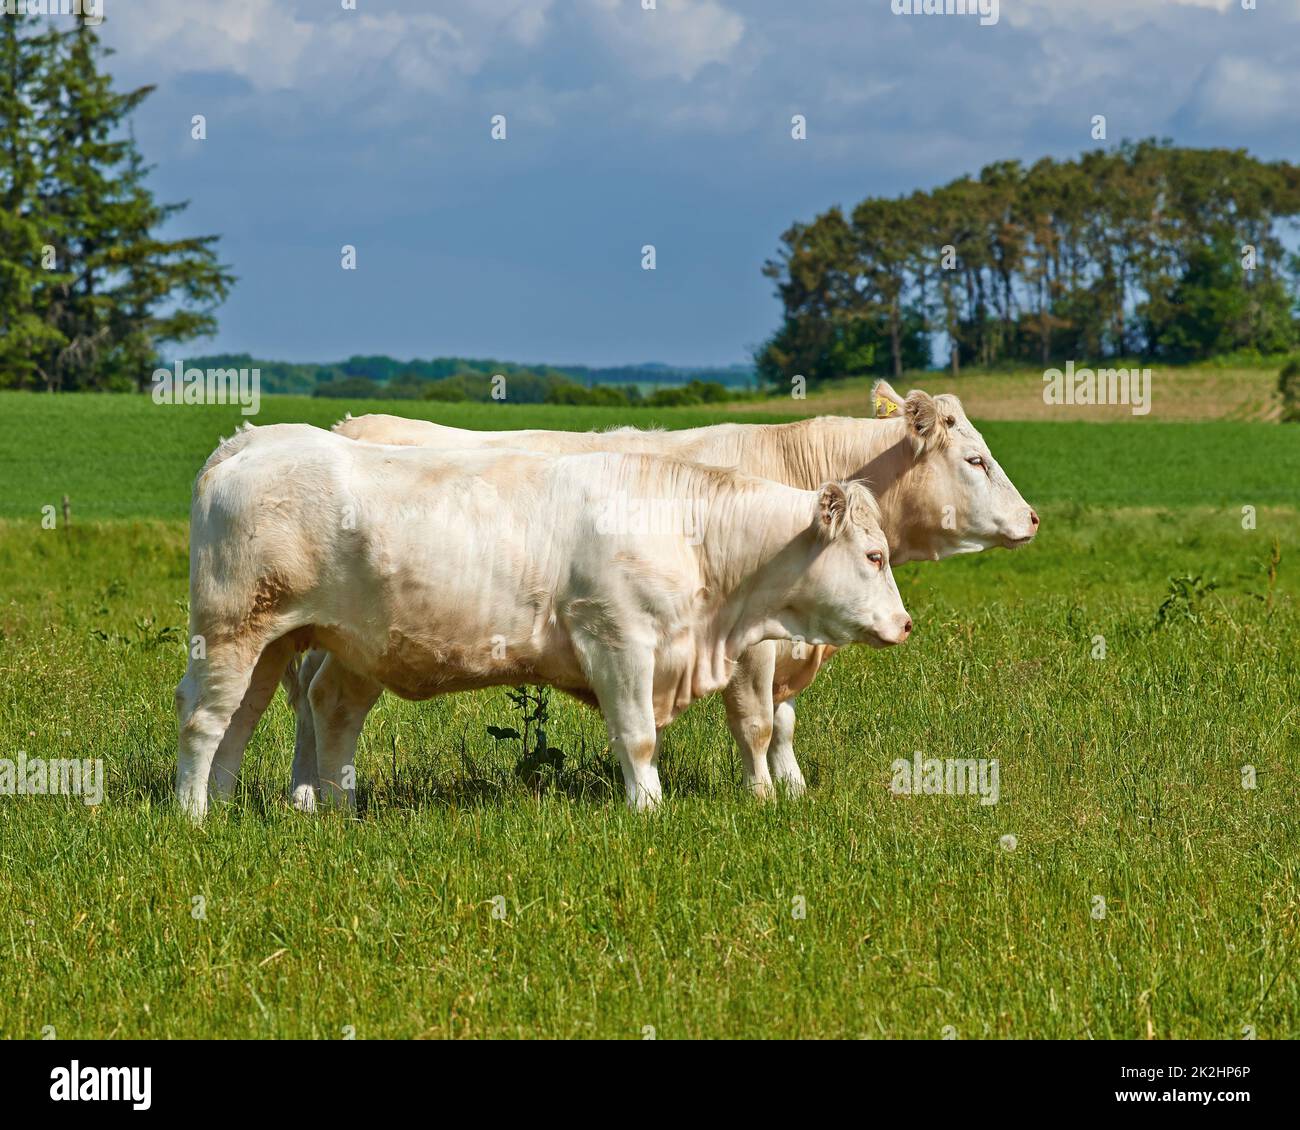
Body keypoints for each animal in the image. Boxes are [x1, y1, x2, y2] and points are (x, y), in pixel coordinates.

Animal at [175, 423, 912, 819]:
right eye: (874, 556)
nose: (905, 624)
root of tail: (252, 441)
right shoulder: (617, 640)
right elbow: (637, 737)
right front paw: (648, 808)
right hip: (231, 630)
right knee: (205, 719)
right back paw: (194, 816)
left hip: (291, 641)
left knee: (270, 715)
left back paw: (268, 806)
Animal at [283, 381, 1037, 807]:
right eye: (975, 459)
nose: (1032, 518)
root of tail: (352, 425)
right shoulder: (753, 644)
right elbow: (757, 721)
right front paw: (763, 796)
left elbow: (785, 721)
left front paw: (793, 789)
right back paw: (310, 798)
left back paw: (306, 797)